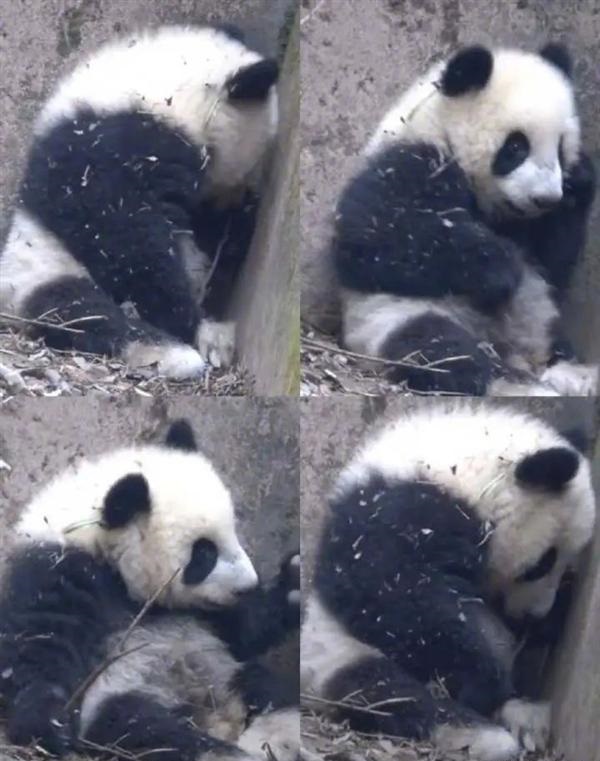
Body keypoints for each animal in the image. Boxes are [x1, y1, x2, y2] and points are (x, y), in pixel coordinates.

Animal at [0, 24, 279, 379]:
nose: (235, 198)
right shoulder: (106, 152)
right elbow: (124, 236)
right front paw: (182, 316)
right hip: (39, 269)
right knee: (81, 311)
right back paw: (177, 353)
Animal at [0, 419, 300, 761]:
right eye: (204, 554)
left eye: (233, 532)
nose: (248, 585)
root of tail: (216, 716)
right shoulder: (59, 575)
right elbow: (38, 651)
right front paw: (49, 726)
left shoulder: (203, 614)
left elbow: (242, 632)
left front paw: (293, 582)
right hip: (129, 691)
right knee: (145, 726)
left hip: (225, 672)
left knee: (268, 689)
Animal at [301, 402, 596, 761]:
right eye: (542, 564)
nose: (534, 614)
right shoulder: (392, 518)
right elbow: (400, 602)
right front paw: (485, 679)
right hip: (334, 652)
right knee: (388, 692)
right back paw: (488, 734)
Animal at [333, 43, 598, 396]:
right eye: (516, 147)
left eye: (560, 148)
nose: (546, 198)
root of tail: (514, 354)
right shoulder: (413, 161)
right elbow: (372, 239)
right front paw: (501, 266)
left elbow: (554, 263)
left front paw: (580, 179)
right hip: (391, 318)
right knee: (439, 347)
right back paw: (501, 379)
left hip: (543, 322)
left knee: (555, 343)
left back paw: (569, 374)